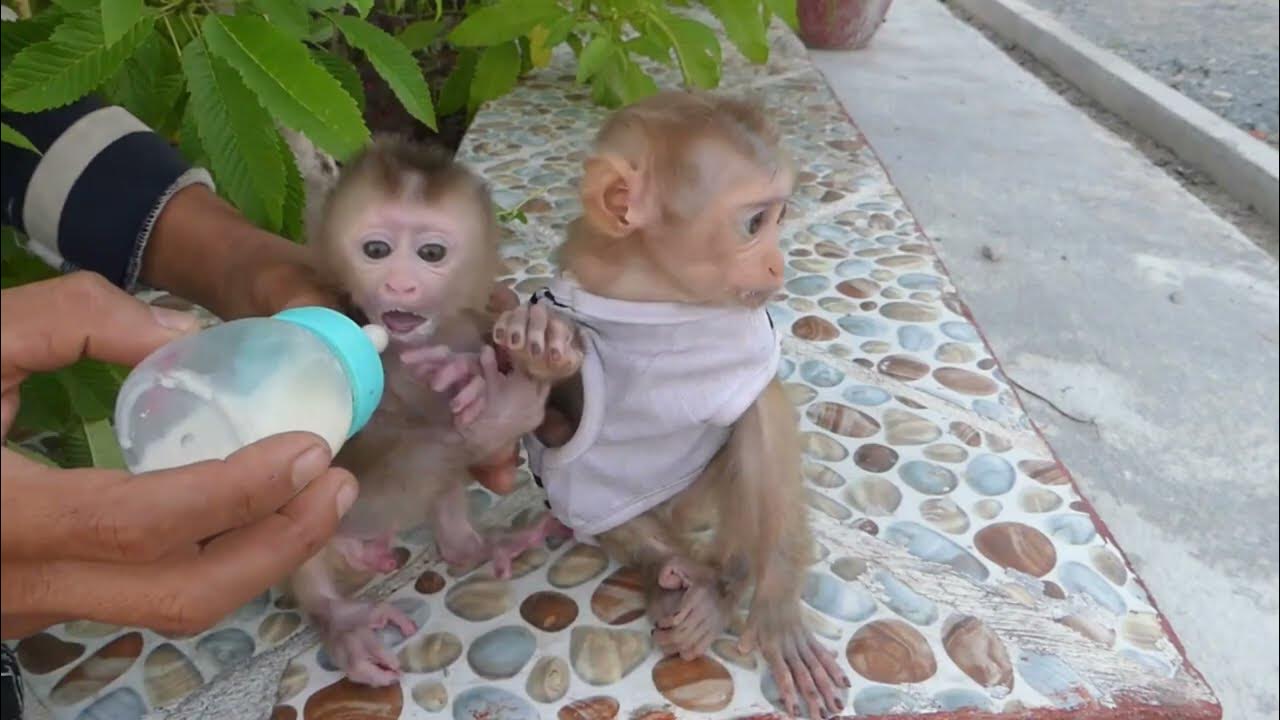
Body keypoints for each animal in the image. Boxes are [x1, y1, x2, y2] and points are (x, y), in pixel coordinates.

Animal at [288, 135, 572, 686]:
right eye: (376, 250)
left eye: (431, 253)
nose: (400, 286)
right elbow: (347, 477)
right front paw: (499, 414)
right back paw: (342, 617)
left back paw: (473, 548)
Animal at [493, 91, 849, 718]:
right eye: (755, 223)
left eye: (781, 217)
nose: (777, 265)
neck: (654, 291)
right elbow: (552, 430)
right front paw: (540, 347)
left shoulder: (745, 335)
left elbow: (763, 415)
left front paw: (777, 606)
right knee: (580, 489)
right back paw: (668, 573)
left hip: (700, 497)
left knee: (748, 436)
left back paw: (722, 587)